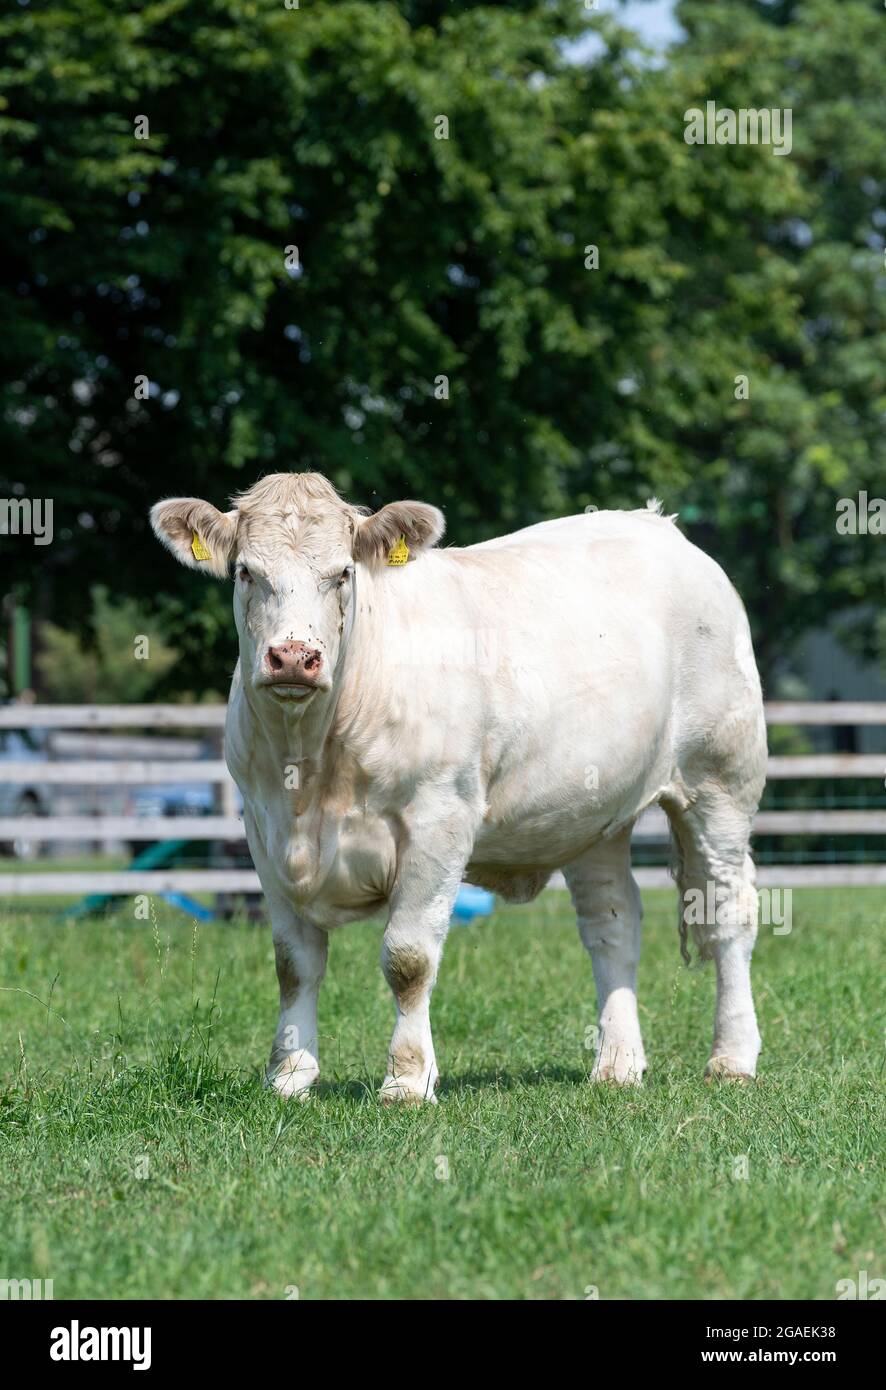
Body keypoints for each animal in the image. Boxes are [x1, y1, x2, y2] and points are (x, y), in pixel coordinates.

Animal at [150, 472, 767, 1103]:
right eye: (246, 572)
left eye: (343, 573)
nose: (294, 657)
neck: (311, 773)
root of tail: (657, 523)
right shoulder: (264, 828)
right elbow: (293, 963)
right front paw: (289, 1076)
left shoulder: (439, 816)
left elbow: (408, 957)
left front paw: (407, 1079)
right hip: (594, 814)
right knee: (612, 920)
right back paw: (617, 1065)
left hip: (722, 778)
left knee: (729, 910)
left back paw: (732, 1058)